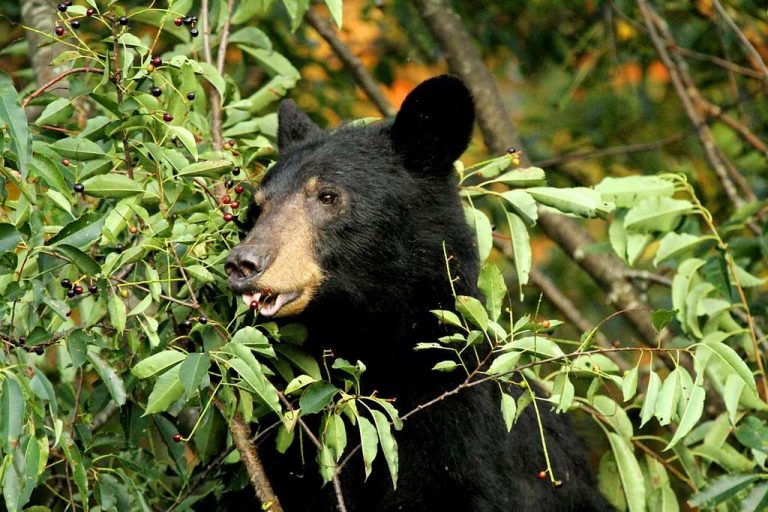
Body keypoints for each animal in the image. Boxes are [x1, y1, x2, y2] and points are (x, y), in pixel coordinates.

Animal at [224, 75, 611, 512]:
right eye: (258, 207)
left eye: (328, 196)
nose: (244, 263)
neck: (368, 340)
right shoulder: (287, 438)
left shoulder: (456, 435)